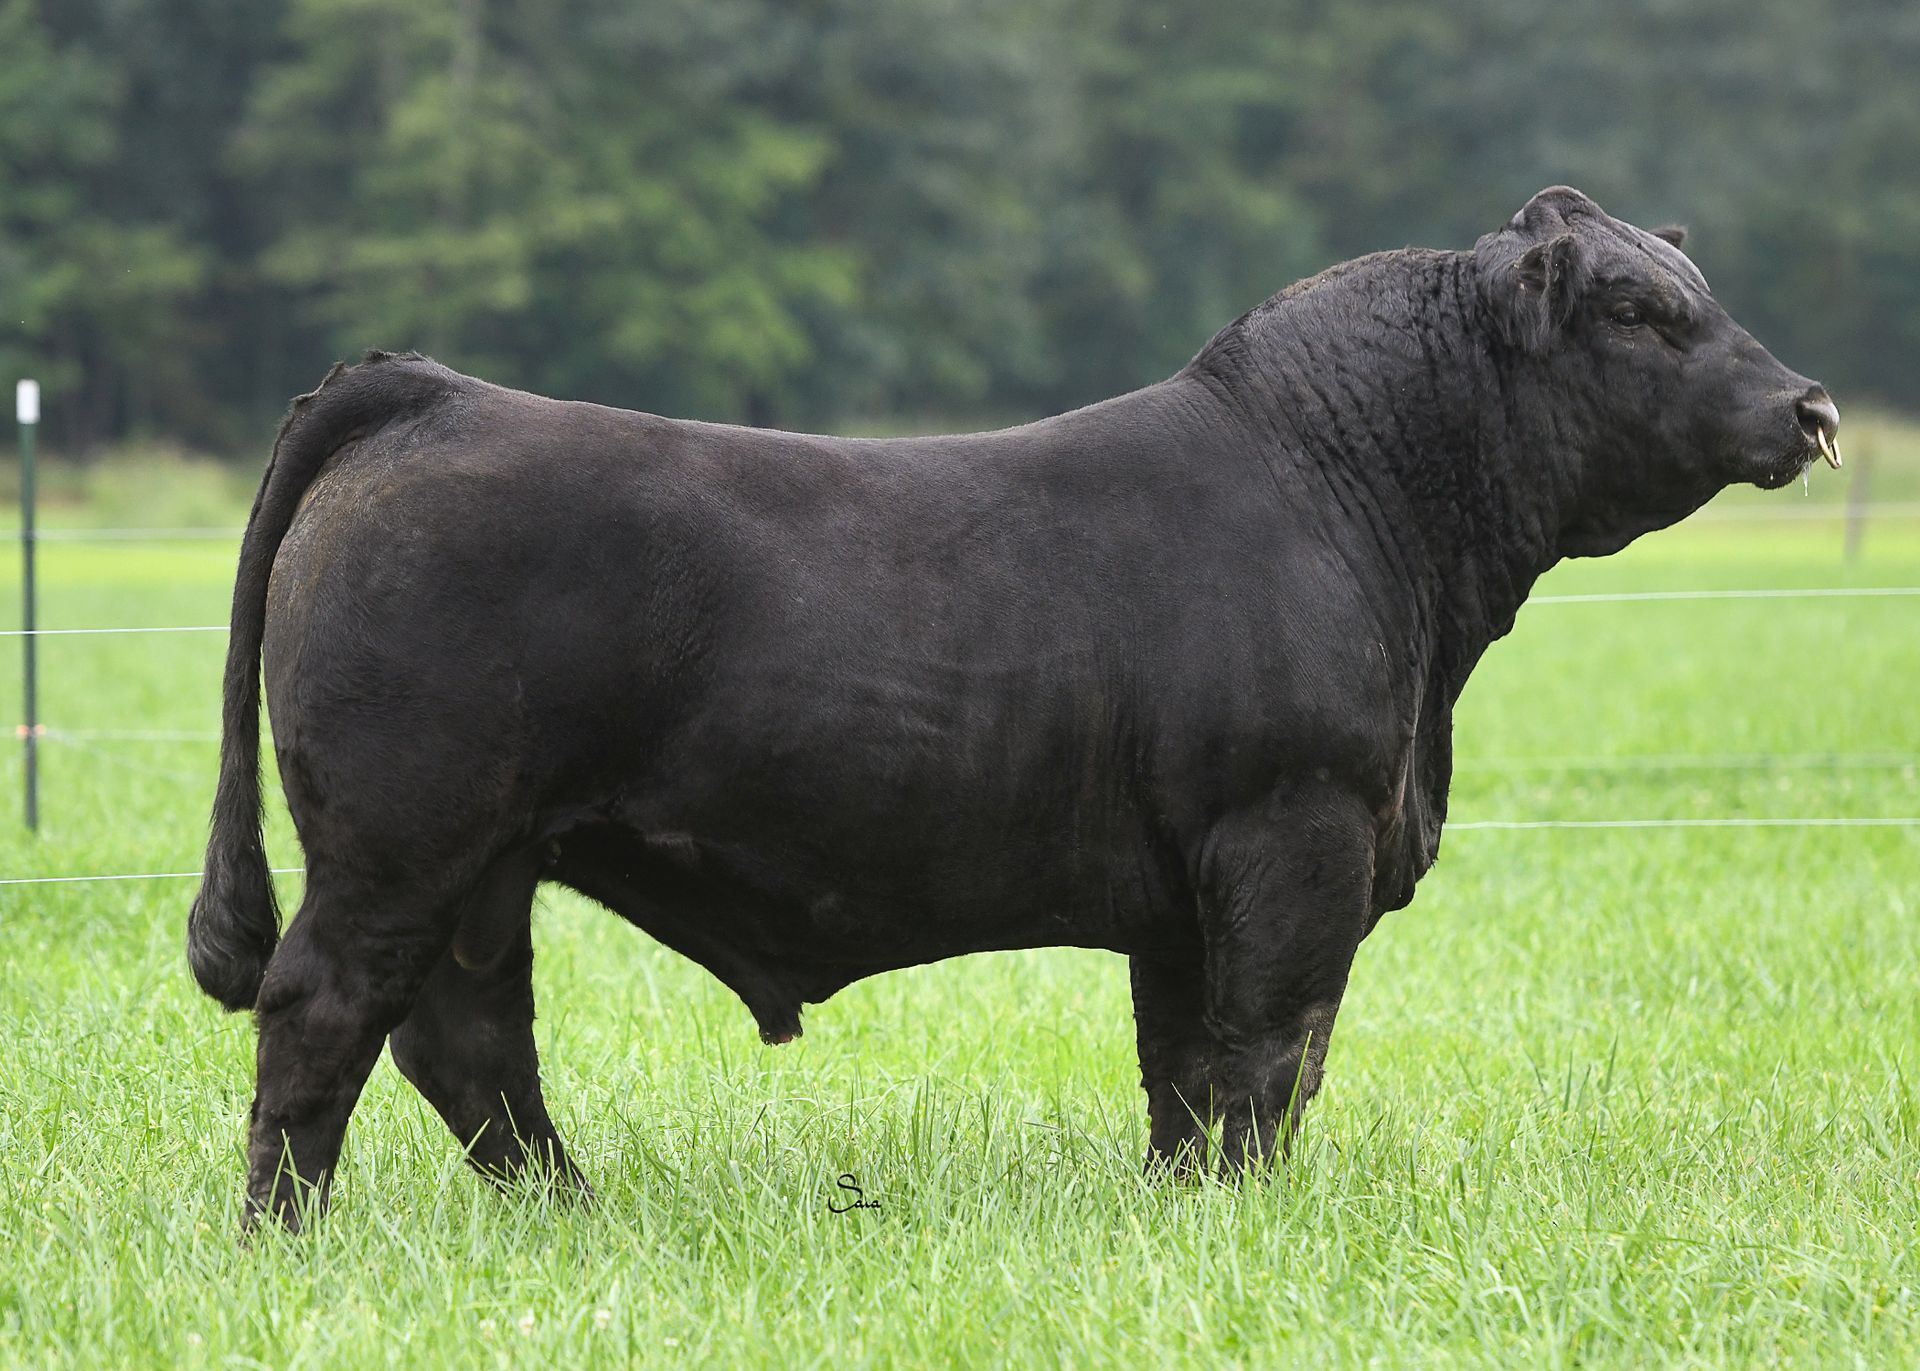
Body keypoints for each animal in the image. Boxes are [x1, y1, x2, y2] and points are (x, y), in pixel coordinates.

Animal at [189, 186, 1840, 1230]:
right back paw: (286, 1240)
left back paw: (571, 1213)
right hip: (402, 836)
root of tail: (433, 390)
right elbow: (1269, 1053)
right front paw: (1256, 1220)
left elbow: (1185, 1073)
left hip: (488, 858)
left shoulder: (1186, 892)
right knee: (325, 1006)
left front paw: (1186, 1216)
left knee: (468, 1037)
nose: (1812, 405)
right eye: (1635, 307)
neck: (1360, 502)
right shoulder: (1293, 835)